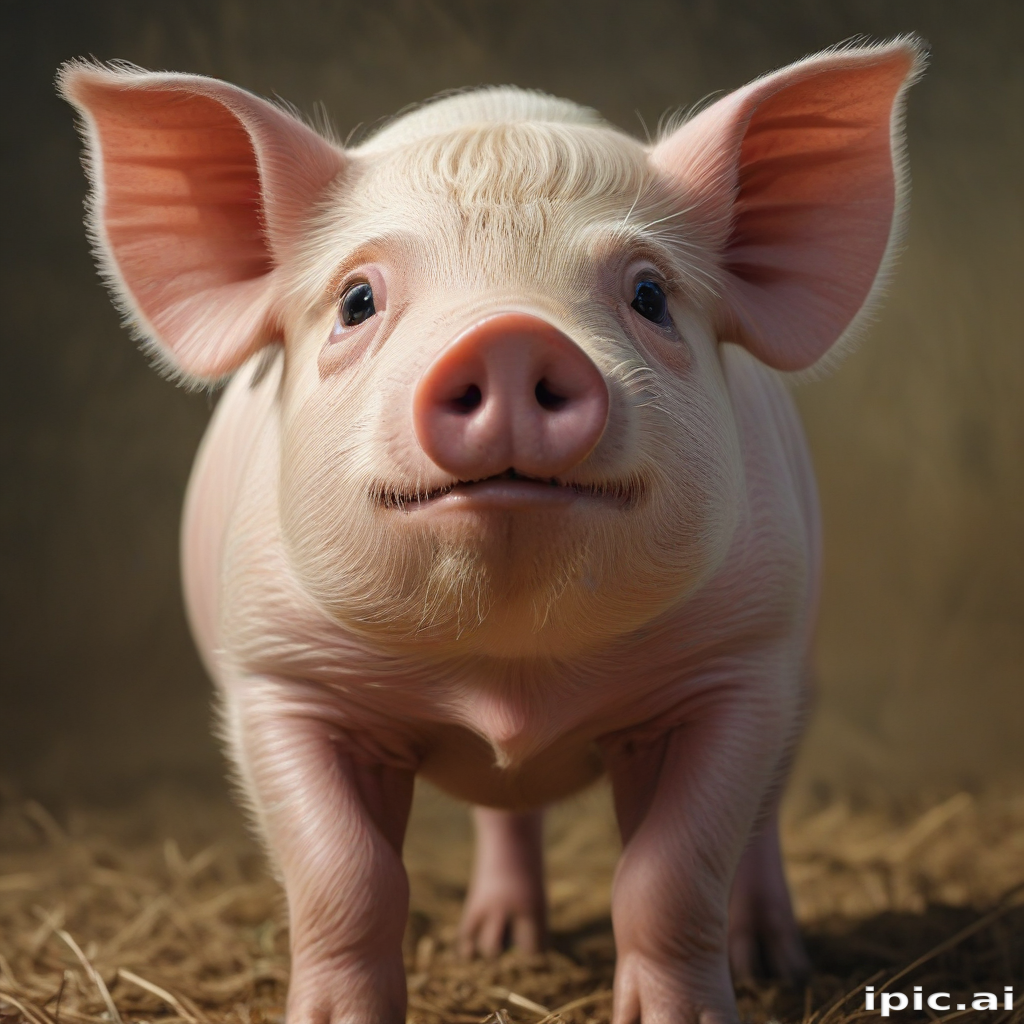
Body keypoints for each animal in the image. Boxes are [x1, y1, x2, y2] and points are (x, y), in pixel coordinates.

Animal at [59, 38, 923, 1024]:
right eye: (356, 300)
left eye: (651, 295)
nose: (510, 335)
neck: (509, 671)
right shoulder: (278, 677)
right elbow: (345, 875)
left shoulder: (738, 664)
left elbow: (669, 873)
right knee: (506, 815)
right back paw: (500, 944)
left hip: (799, 669)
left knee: (763, 824)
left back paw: (777, 964)